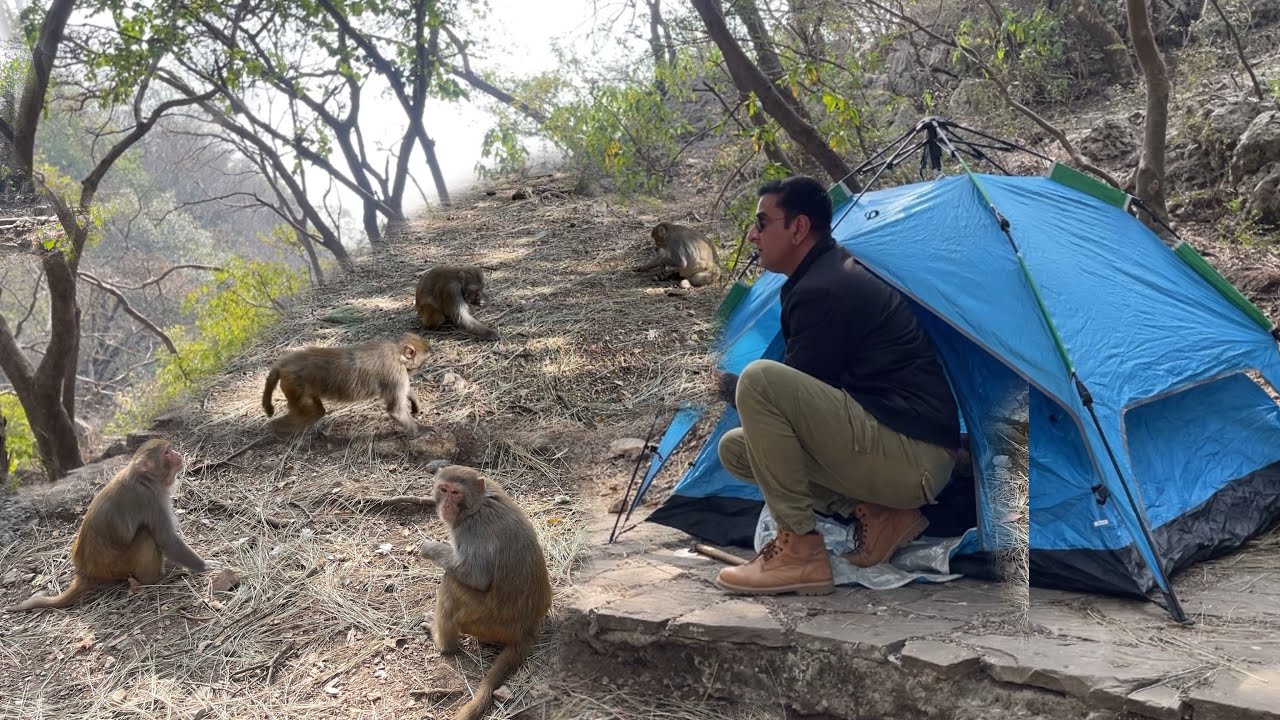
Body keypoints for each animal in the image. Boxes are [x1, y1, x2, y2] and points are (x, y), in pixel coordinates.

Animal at [4, 439, 209, 612]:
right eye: (167, 452)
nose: (178, 454)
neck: (145, 479)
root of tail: (85, 573)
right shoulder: (150, 501)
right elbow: (166, 539)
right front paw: (204, 566)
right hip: (117, 566)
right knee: (145, 535)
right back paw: (156, 578)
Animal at [262, 333, 430, 437]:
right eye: (422, 363)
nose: (422, 368)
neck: (396, 354)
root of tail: (284, 363)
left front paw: (414, 400)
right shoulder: (396, 373)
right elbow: (396, 412)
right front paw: (423, 429)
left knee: (316, 411)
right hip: (295, 386)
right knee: (314, 412)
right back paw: (276, 429)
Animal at [418, 465, 553, 720]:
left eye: (456, 492)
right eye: (443, 489)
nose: (446, 505)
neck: (478, 503)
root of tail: (527, 630)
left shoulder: (469, 529)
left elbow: (476, 576)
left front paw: (428, 548)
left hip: (483, 622)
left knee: (450, 582)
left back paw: (443, 643)